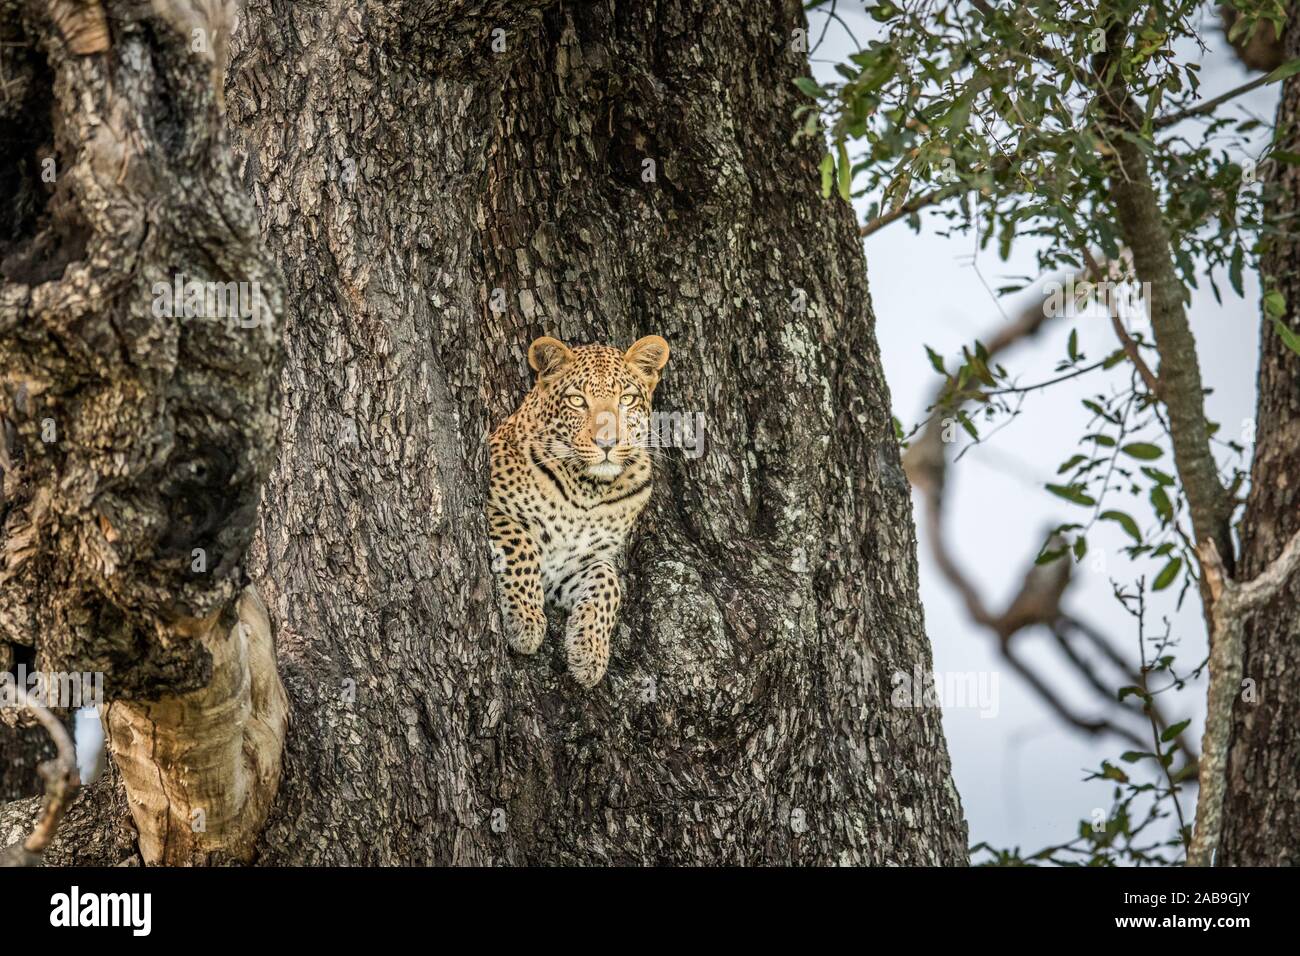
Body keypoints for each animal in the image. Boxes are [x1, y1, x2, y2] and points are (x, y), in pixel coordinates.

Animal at [488, 334, 670, 687]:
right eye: (576, 401)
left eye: (626, 399)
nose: (607, 444)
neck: (588, 492)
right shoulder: (493, 507)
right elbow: (522, 545)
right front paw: (526, 622)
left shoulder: (580, 561)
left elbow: (609, 585)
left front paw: (589, 654)